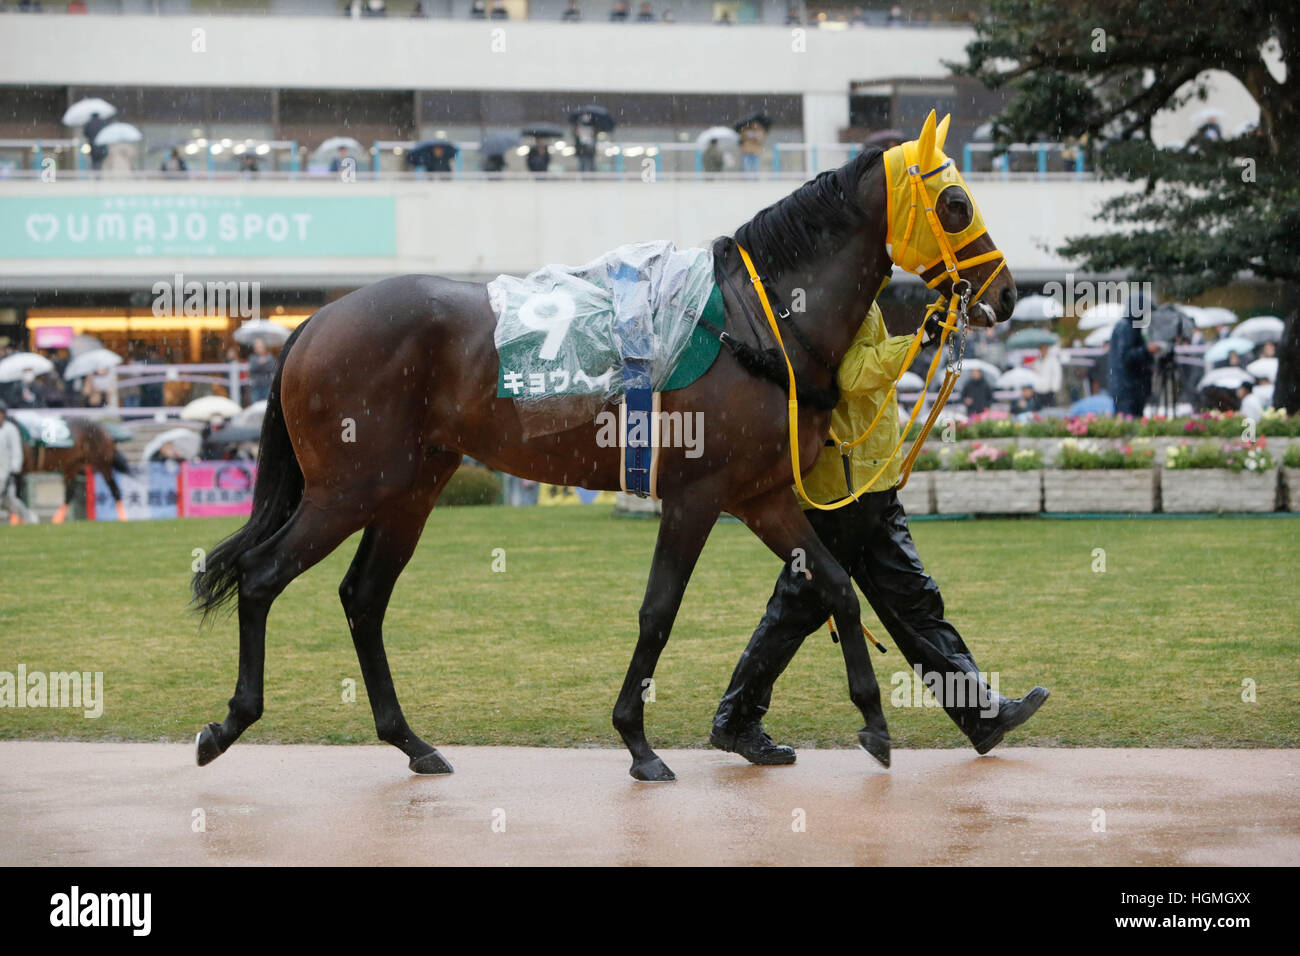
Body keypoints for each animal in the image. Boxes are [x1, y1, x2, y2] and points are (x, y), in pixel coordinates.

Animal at [192, 114, 1017, 781]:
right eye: (956, 204)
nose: (1006, 293)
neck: (756, 324)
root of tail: (315, 320)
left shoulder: (763, 497)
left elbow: (838, 586)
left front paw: (874, 723)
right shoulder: (695, 498)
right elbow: (659, 612)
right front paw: (638, 742)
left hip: (410, 491)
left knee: (363, 599)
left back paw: (412, 743)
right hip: (348, 489)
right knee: (262, 577)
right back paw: (230, 722)